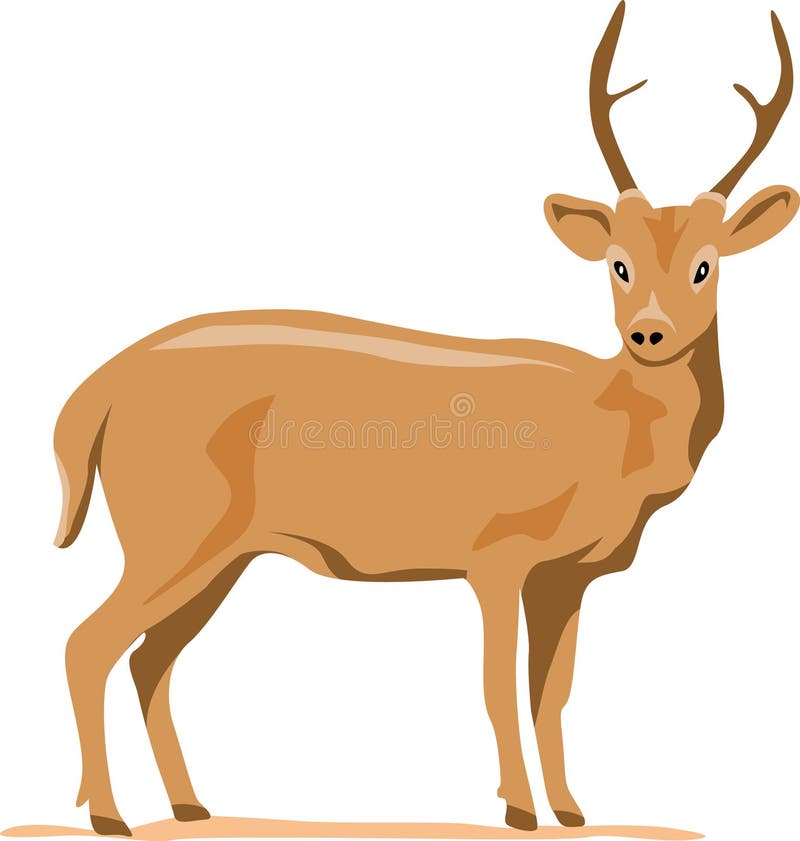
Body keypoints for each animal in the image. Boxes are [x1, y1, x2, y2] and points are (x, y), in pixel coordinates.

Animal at [53, 2, 797, 835]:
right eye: (619, 264)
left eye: (706, 264)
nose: (649, 333)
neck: (611, 430)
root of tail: (93, 393)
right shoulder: (499, 550)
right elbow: (498, 688)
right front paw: (519, 808)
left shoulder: (570, 574)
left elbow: (554, 693)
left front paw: (572, 809)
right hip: (172, 529)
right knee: (87, 643)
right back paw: (109, 813)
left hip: (221, 551)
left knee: (149, 657)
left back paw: (188, 803)